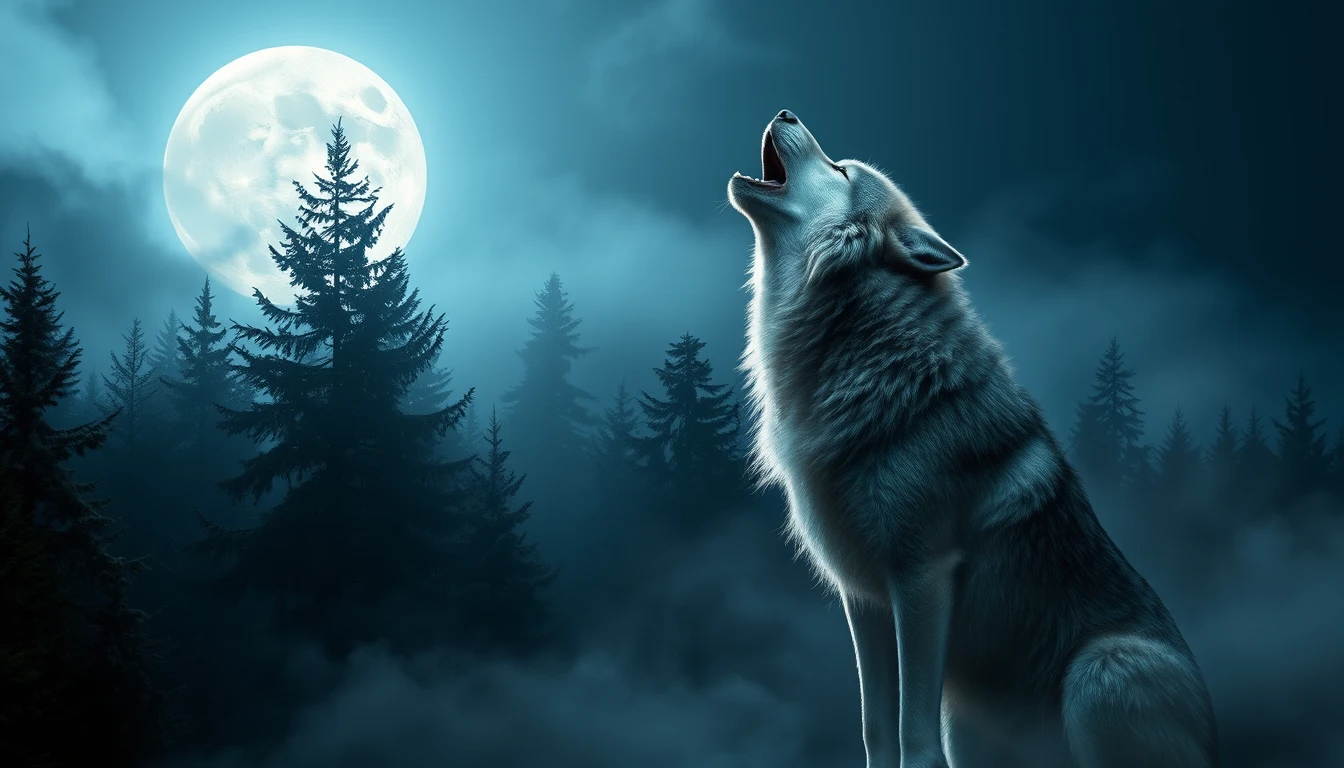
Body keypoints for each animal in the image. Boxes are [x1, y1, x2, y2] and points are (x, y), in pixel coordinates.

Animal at [728, 110, 1217, 768]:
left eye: (840, 170)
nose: (785, 113)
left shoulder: (922, 578)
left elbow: (912, 734)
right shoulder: (864, 599)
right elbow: (876, 728)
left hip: (1098, 672)